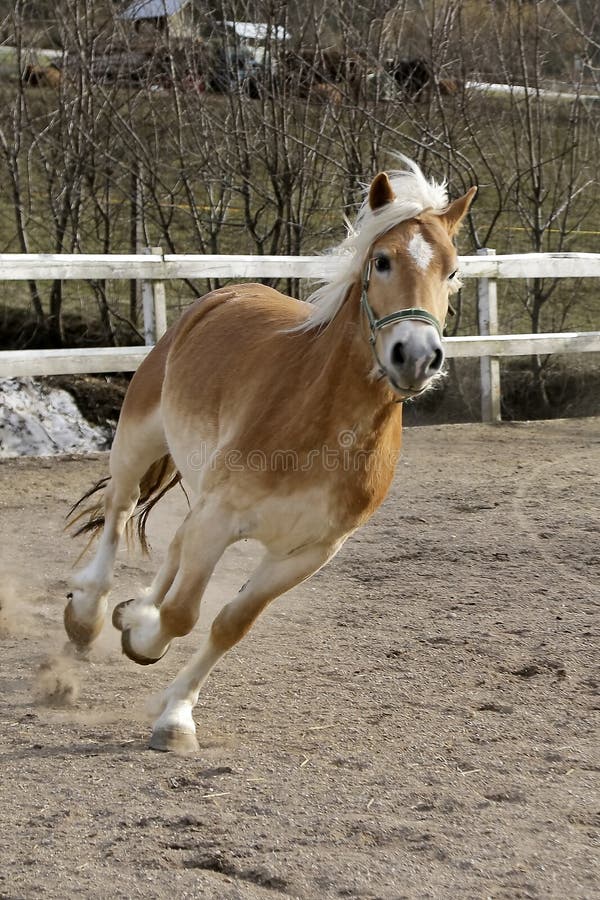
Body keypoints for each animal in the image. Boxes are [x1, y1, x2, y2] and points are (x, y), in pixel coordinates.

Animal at [64, 159, 477, 753]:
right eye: (382, 261)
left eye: (452, 271)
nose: (417, 357)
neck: (325, 429)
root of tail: (221, 295)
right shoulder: (221, 518)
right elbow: (183, 614)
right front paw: (145, 644)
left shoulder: (306, 553)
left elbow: (230, 624)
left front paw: (174, 710)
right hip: (138, 442)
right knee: (119, 512)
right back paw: (91, 615)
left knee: (171, 546)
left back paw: (132, 609)